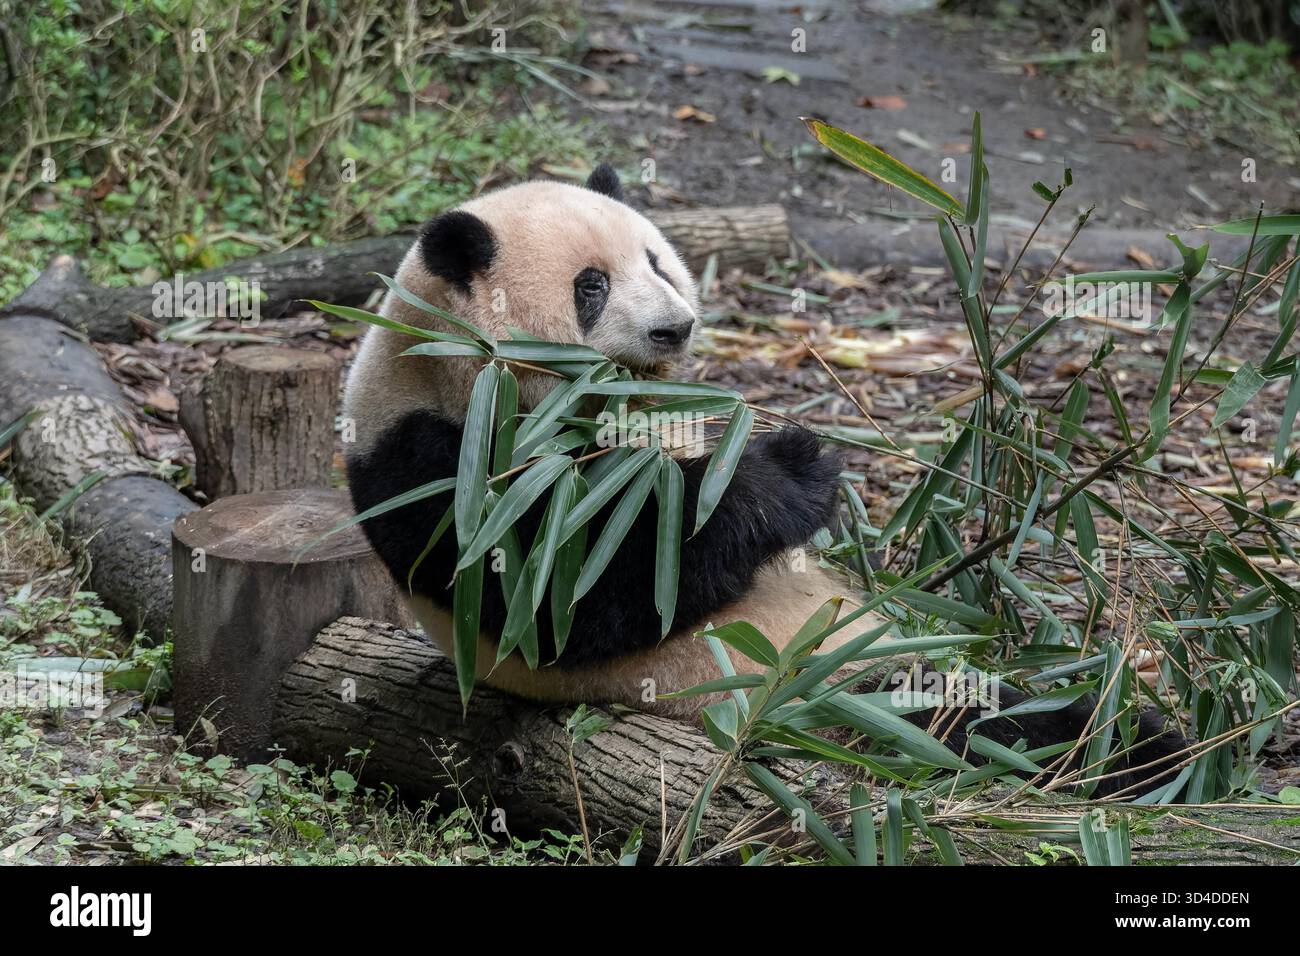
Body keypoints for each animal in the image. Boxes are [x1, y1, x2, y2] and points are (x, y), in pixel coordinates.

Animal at [343, 164, 1187, 797]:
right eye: (590, 286)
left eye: (657, 261)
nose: (674, 328)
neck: (453, 367)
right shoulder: (439, 463)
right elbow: (575, 590)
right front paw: (791, 473)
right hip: (800, 689)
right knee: (974, 721)